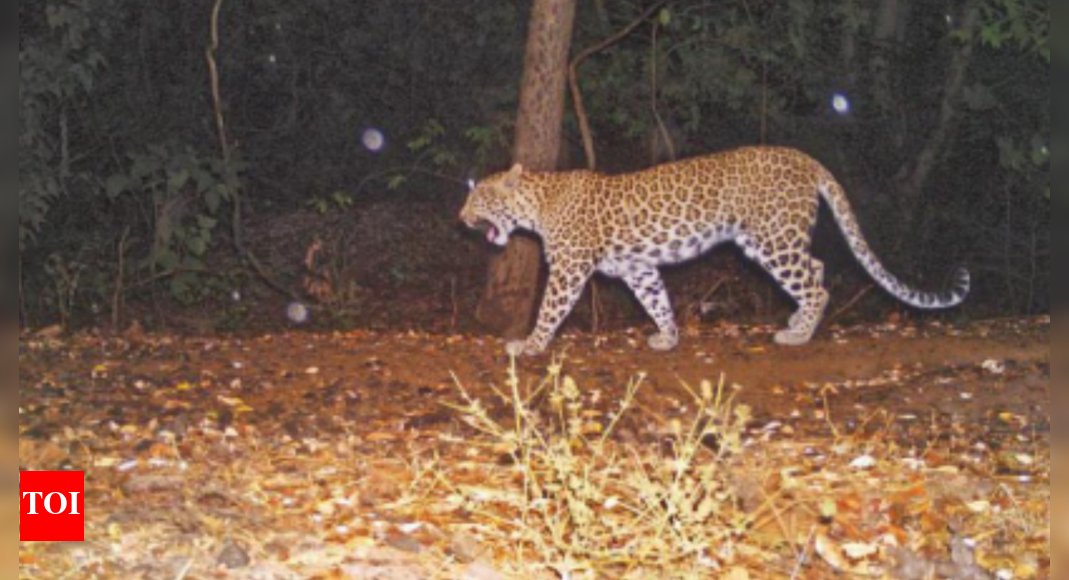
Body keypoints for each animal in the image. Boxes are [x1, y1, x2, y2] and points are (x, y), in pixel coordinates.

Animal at [460, 146, 970, 357]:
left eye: (478, 198)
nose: (462, 218)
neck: (537, 205)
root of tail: (805, 158)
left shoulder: (568, 269)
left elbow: (550, 308)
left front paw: (529, 344)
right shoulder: (637, 267)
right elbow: (657, 301)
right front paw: (668, 338)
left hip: (773, 238)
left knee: (816, 282)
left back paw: (798, 334)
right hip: (761, 241)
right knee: (818, 267)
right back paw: (797, 323)